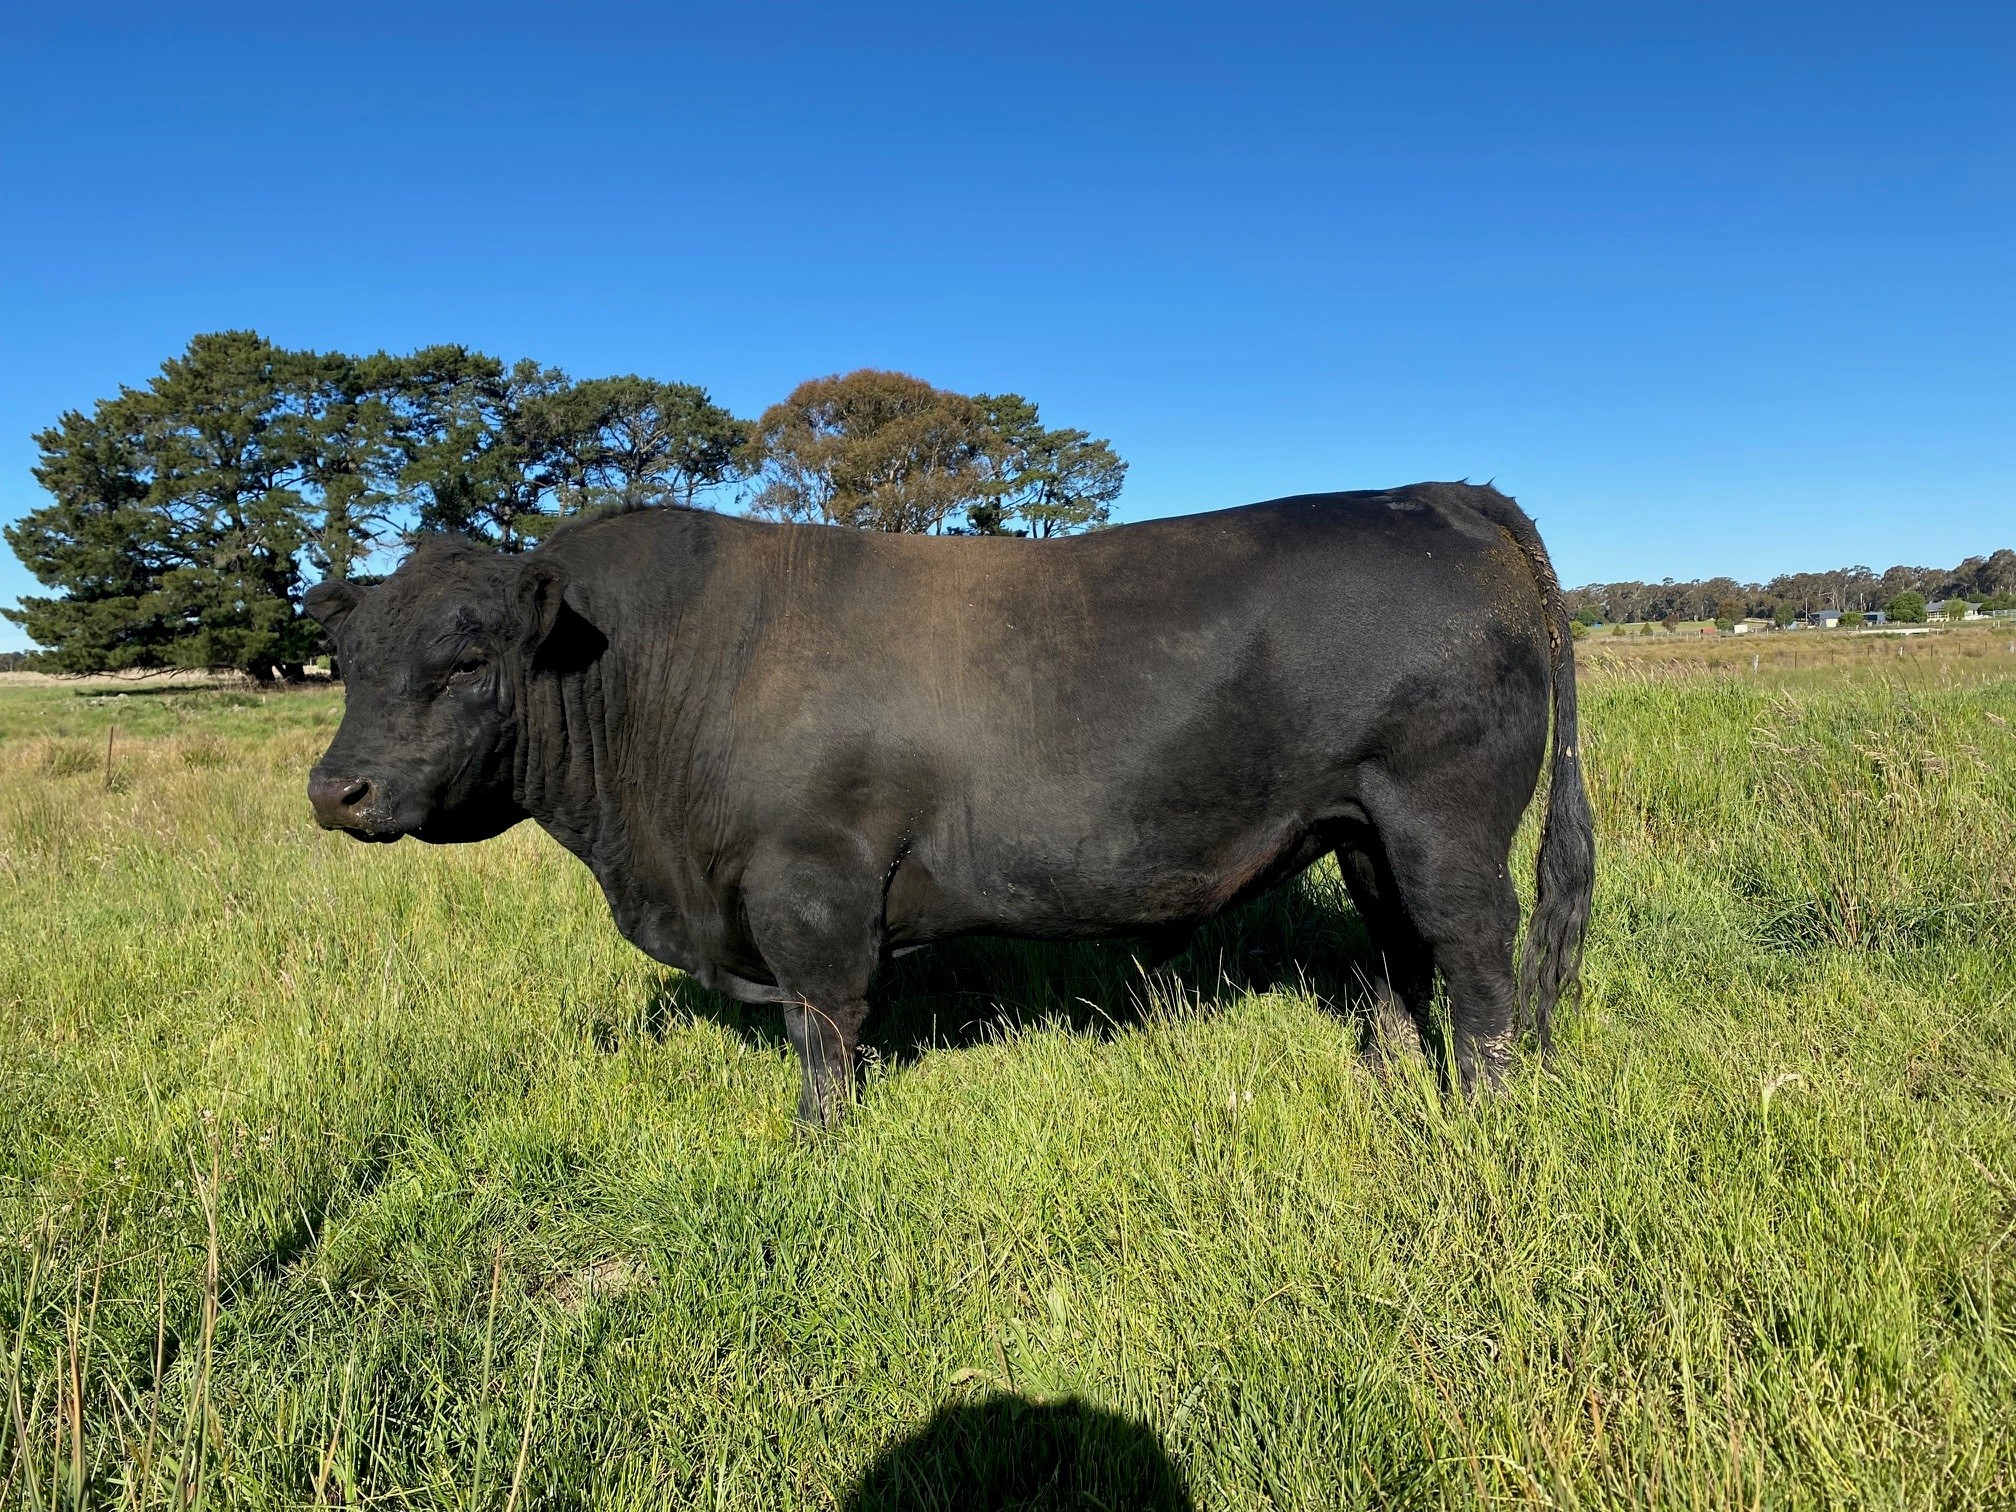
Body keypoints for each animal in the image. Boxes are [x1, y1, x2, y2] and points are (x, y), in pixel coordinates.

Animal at [305, 484, 1594, 1123]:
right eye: (350, 656)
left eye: (468, 659)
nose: (335, 787)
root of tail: (1432, 493)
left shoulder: (811, 878)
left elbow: (824, 1028)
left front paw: (819, 1144)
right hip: (1360, 826)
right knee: (1399, 951)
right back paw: (1387, 1073)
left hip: (1439, 815)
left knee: (1475, 954)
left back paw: (1481, 1114)